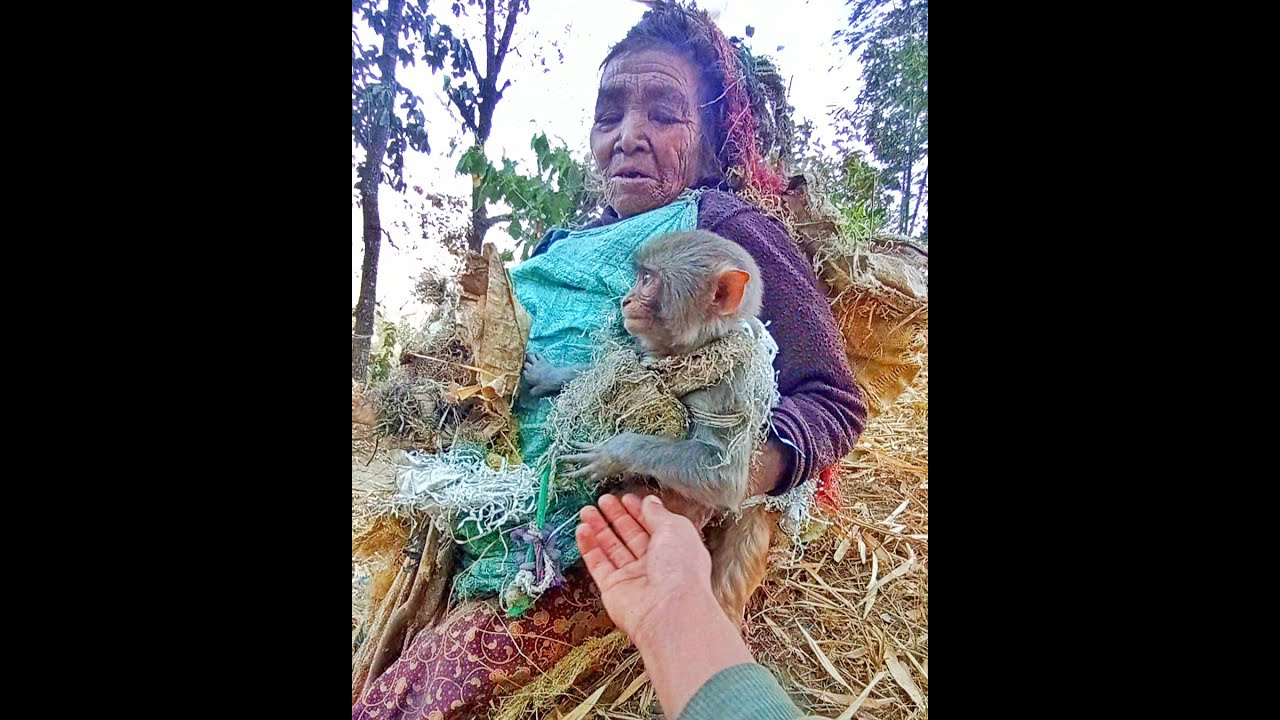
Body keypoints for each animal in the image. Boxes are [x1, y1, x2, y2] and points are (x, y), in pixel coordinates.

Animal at [519, 229, 777, 623]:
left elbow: (723, 477)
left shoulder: (727, 388)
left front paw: (615, 452)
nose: (626, 299)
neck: (688, 352)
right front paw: (552, 375)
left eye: (647, 280)